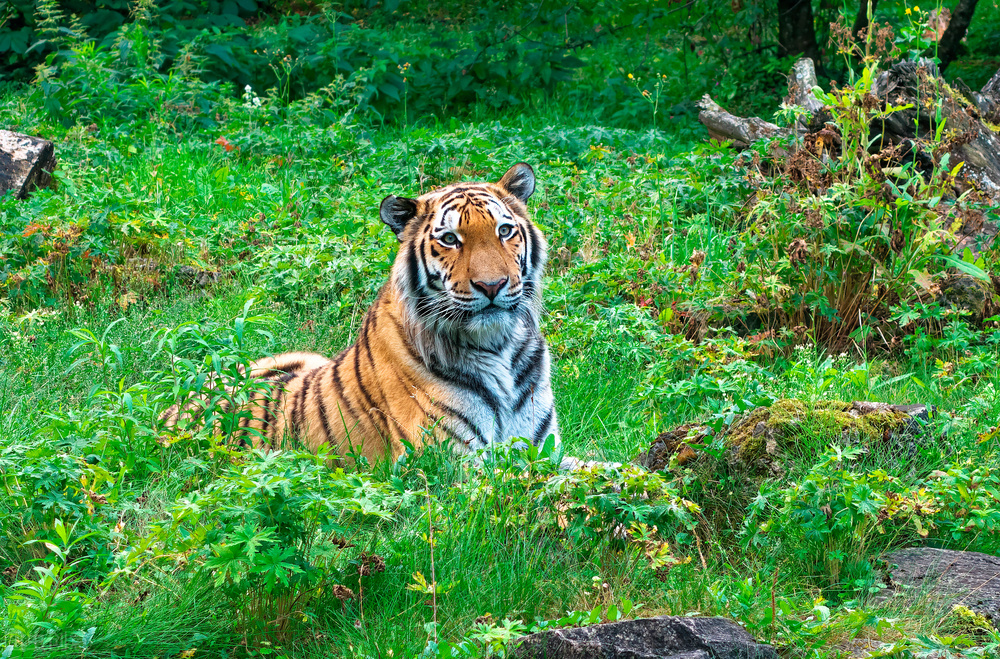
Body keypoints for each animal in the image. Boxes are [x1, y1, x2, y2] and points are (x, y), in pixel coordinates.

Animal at [162, 162, 562, 464]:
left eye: (505, 231)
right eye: (450, 239)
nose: (492, 286)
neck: (499, 347)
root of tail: (173, 407)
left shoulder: (544, 449)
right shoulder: (453, 464)